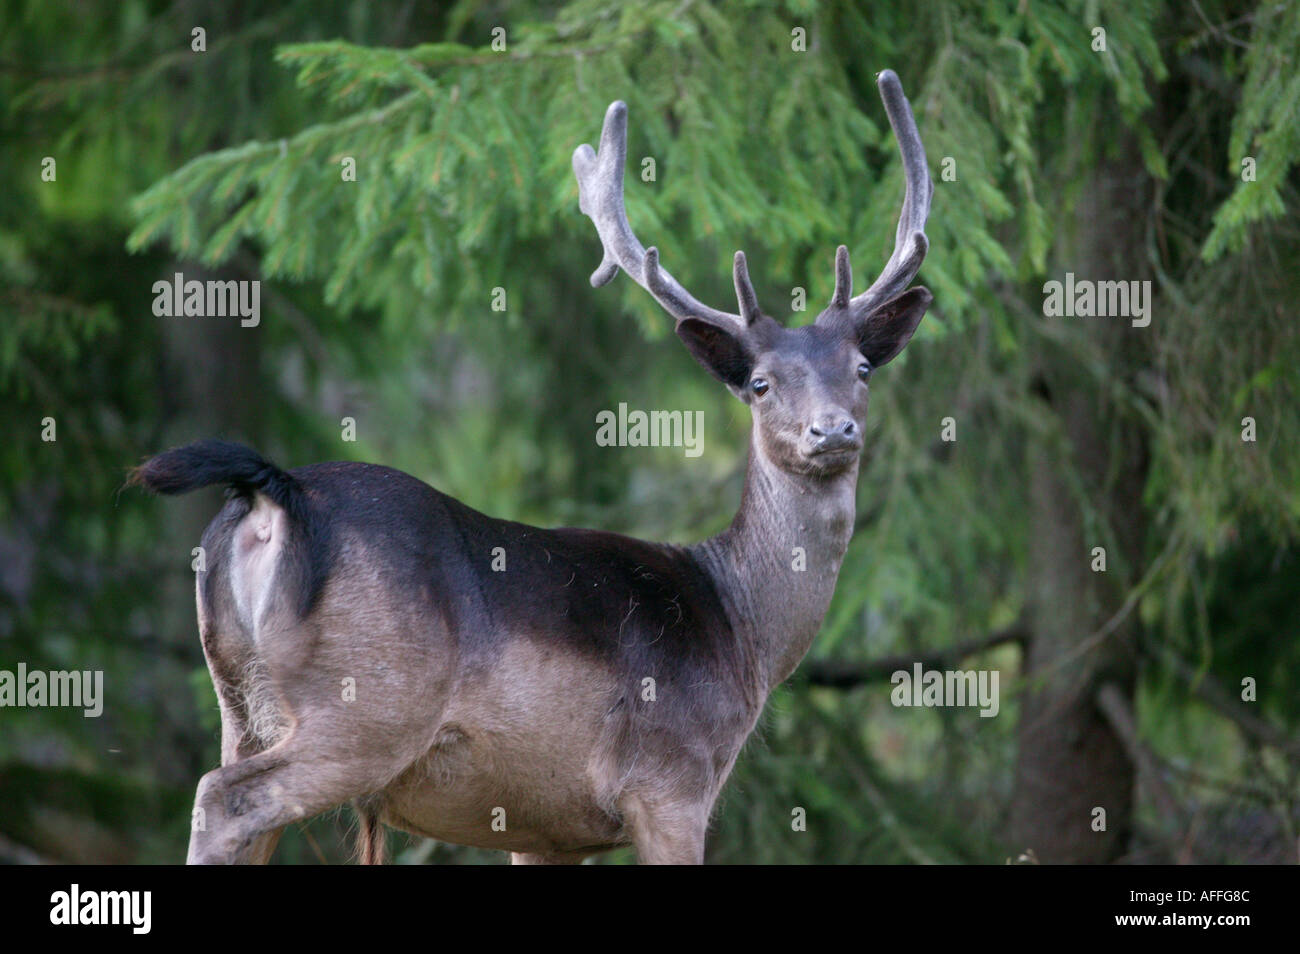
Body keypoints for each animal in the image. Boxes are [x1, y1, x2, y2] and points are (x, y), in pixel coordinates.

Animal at [129, 69, 932, 865]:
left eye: (862, 368)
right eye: (760, 384)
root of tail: (272, 496)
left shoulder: (543, 827)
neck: (742, 628)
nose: (833, 430)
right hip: (366, 708)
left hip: (240, 705)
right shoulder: (671, 782)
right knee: (224, 798)